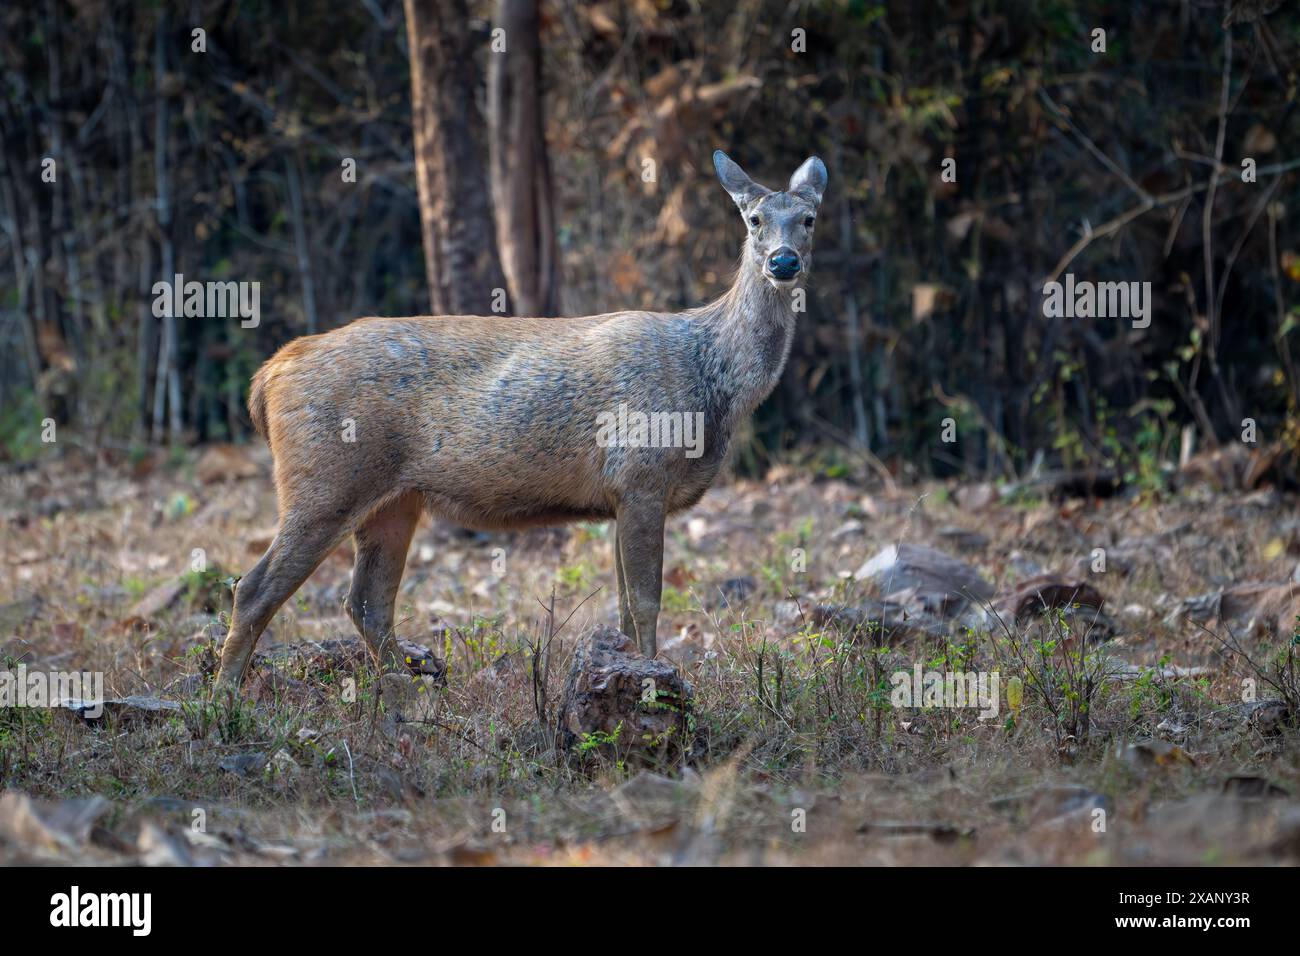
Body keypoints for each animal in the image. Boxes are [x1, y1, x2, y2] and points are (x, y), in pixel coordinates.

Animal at [214, 150, 827, 691]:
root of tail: (269, 376)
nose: (784, 262)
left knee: (366, 602)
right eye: (753, 220)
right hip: (324, 477)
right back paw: (224, 701)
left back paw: (411, 695)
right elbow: (646, 603)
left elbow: (625, 609)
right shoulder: (641, 475)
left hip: (394, 499)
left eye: (809, 218)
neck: (711, 382)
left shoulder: (620, 494)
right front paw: (657, 680)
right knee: (254, 587)